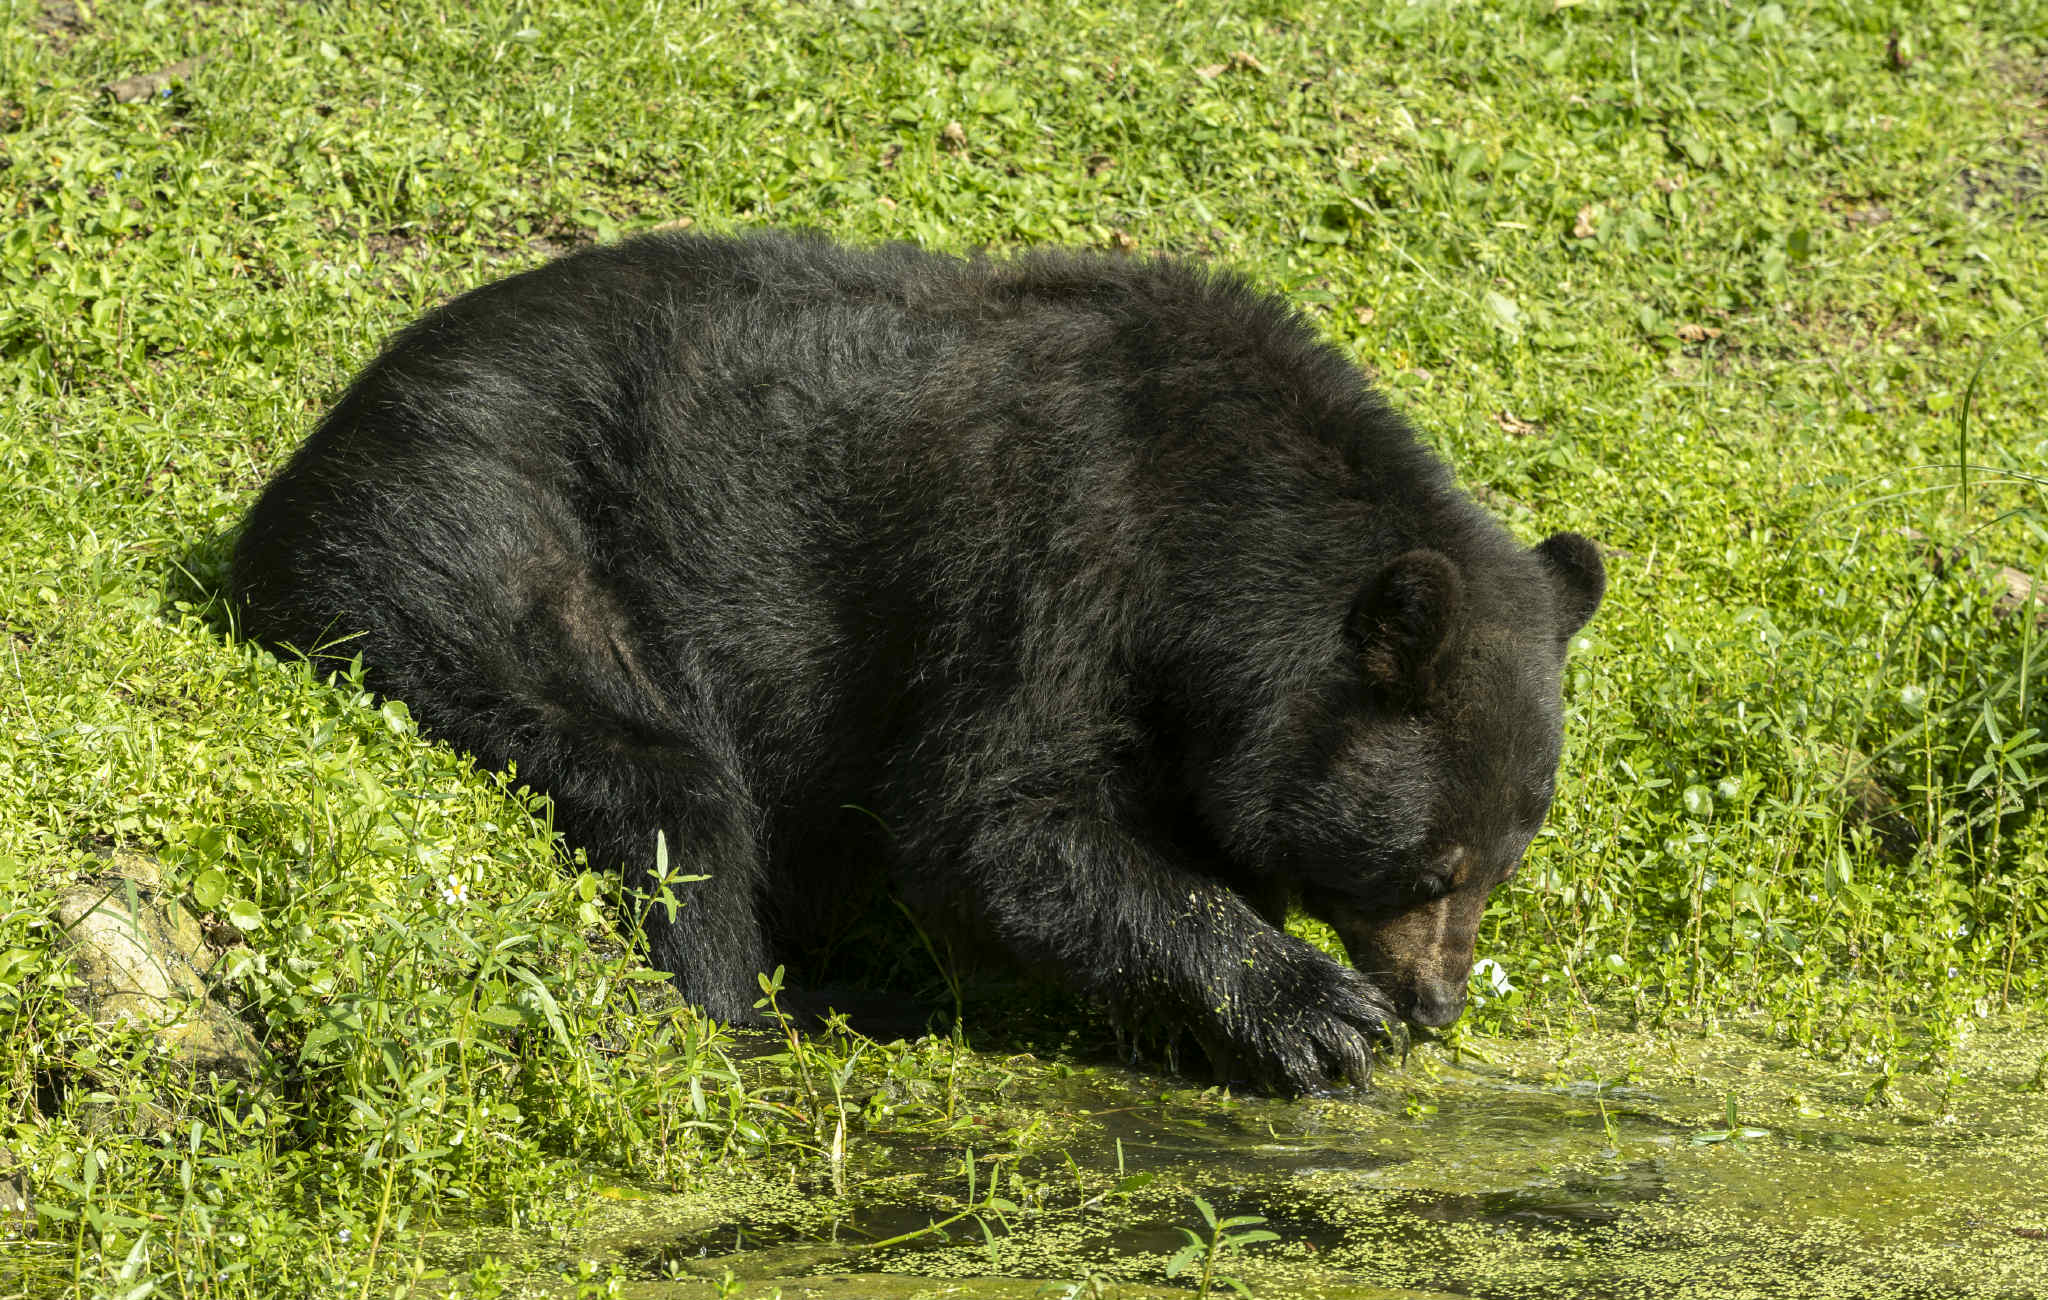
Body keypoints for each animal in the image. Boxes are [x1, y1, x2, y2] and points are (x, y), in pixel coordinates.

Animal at [230, 230, 1604, 1094]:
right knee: (668, 794)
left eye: (1508, 853)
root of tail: (306, 457)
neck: (1212, 534)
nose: (1437, 1000)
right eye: (1430, 868)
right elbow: (990, 820)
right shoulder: (1058, 561)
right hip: (477, 537)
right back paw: (755, 1007)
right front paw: (1313, 1014)